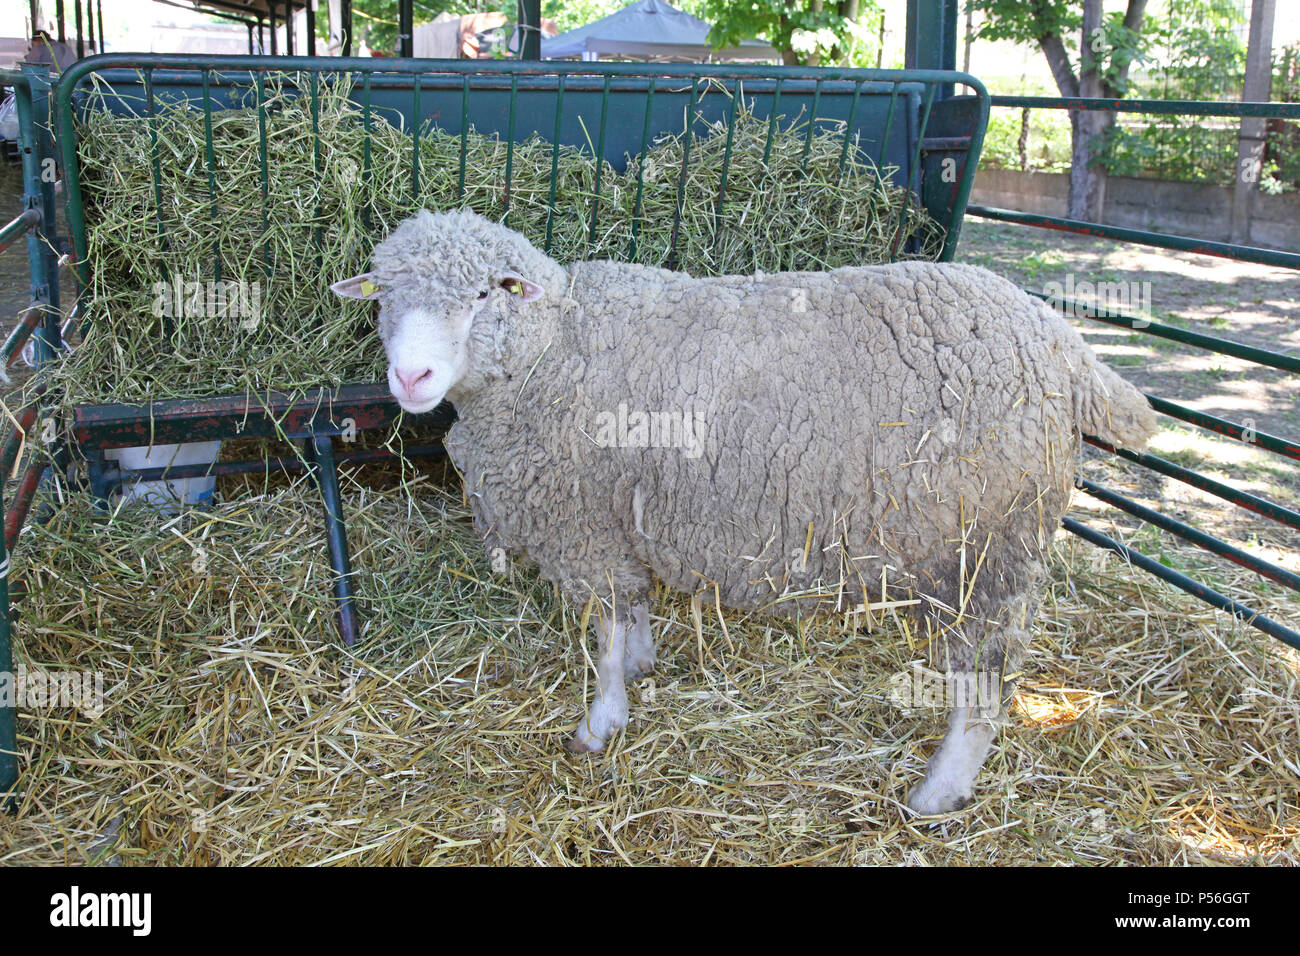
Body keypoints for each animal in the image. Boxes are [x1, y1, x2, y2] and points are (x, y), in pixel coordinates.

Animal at [331, 208, 1157, 814]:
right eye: (384, 298)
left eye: (483, 293)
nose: (410, 377)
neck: (550, 349)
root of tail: (1064, 346)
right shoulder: (620, 513)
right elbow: (632, 609)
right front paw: (644, 662)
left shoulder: (585, 523)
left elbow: (604, 636)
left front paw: (601, 724)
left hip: (989, 549)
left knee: (986, 680)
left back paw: (938, 791)